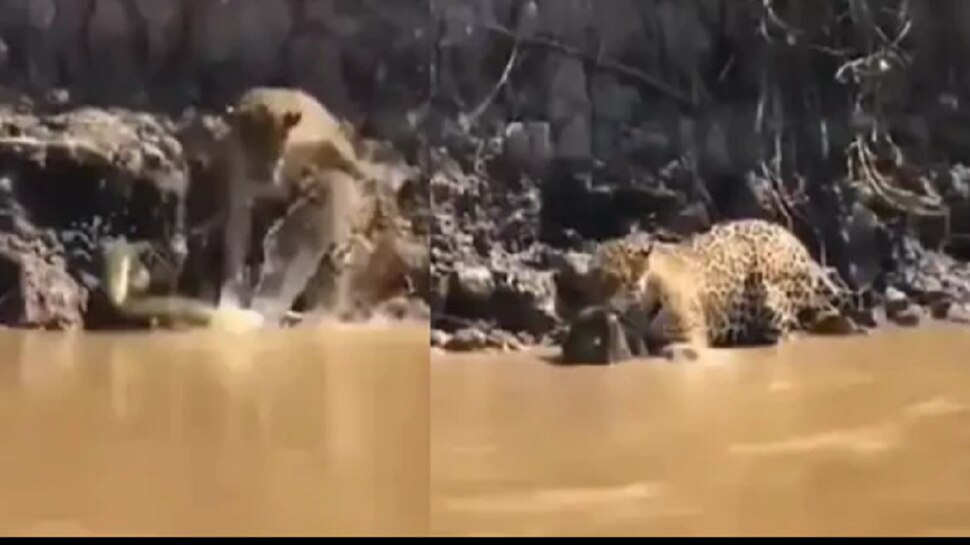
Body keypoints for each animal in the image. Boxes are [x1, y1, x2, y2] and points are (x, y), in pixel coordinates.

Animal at [588, 219, 864, 361]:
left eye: (617, 278)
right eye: (597, 278)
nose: (602, 303)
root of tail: (797, 243)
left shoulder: (692, 340)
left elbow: (674, 351)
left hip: (771, 295)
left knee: (790, 334)